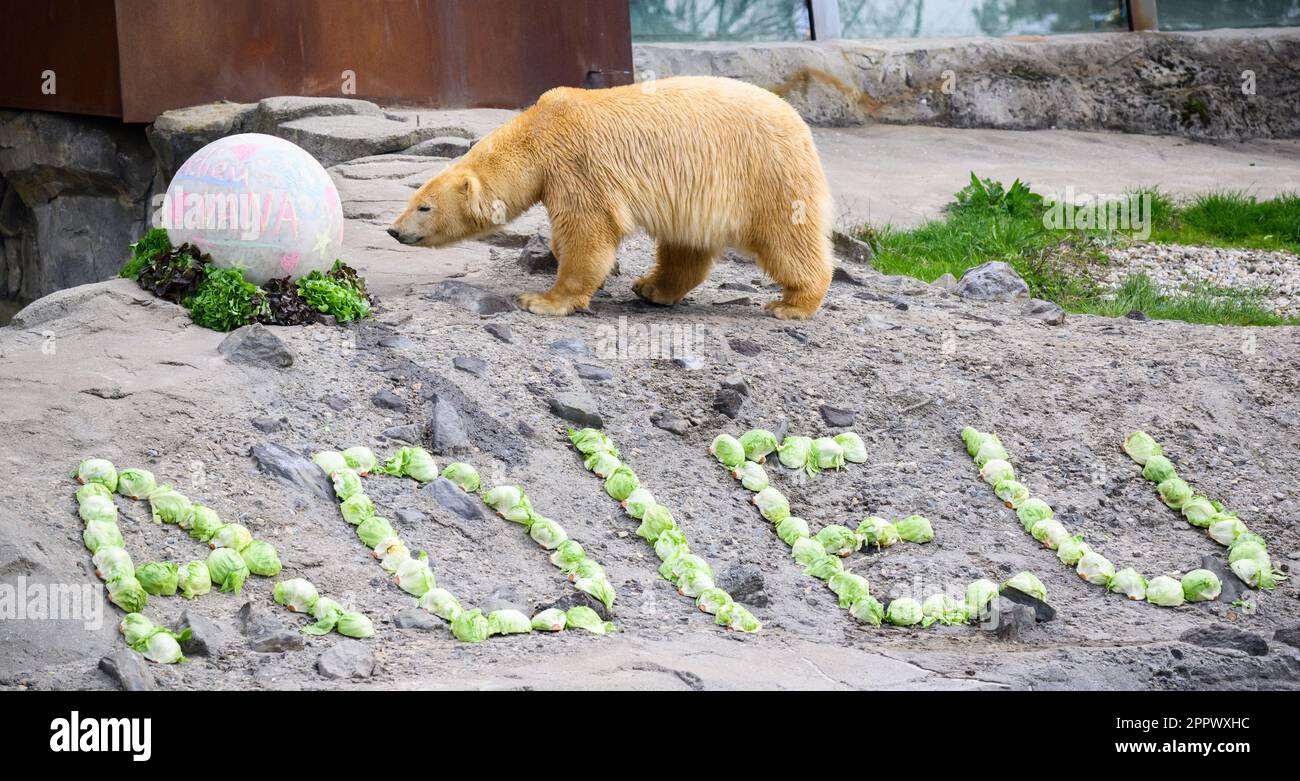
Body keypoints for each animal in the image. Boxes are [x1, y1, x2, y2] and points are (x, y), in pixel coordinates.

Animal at [388, 75, 833, 319]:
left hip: (765, 173)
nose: (393, 231)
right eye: (413, 199)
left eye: (424, 206)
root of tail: (798, 121)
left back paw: (791, 304)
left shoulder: (576, 163)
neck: (537, 132)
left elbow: (588, 230)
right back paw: (652, 288)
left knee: (786, 236)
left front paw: (542, 299)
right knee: (685, 246)